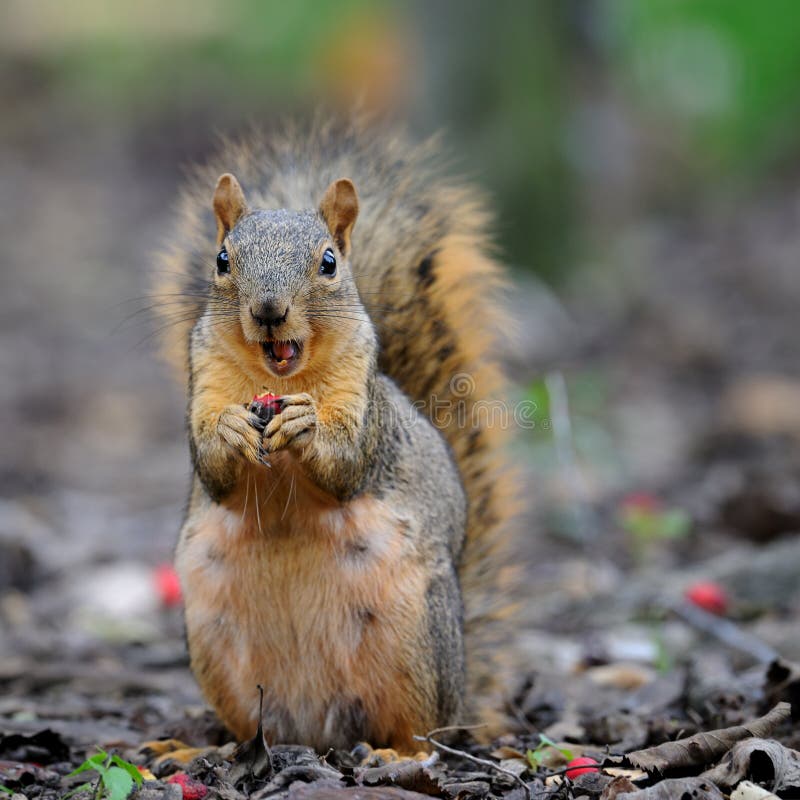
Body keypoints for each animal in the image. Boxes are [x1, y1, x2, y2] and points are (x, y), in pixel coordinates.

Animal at [154, 117, 520, 754]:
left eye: (328, 263)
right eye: (222, 259)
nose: (269, 310)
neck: (281, 378)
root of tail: (318, 731)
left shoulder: (363, 408)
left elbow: (346, 465)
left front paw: (305, 424)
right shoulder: (206, 382)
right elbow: (213, 469)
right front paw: (229, 428)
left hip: (418, 642)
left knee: (419, 731)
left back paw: (398, 753)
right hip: (212, 644)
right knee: (251, 724)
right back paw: (208, 744)